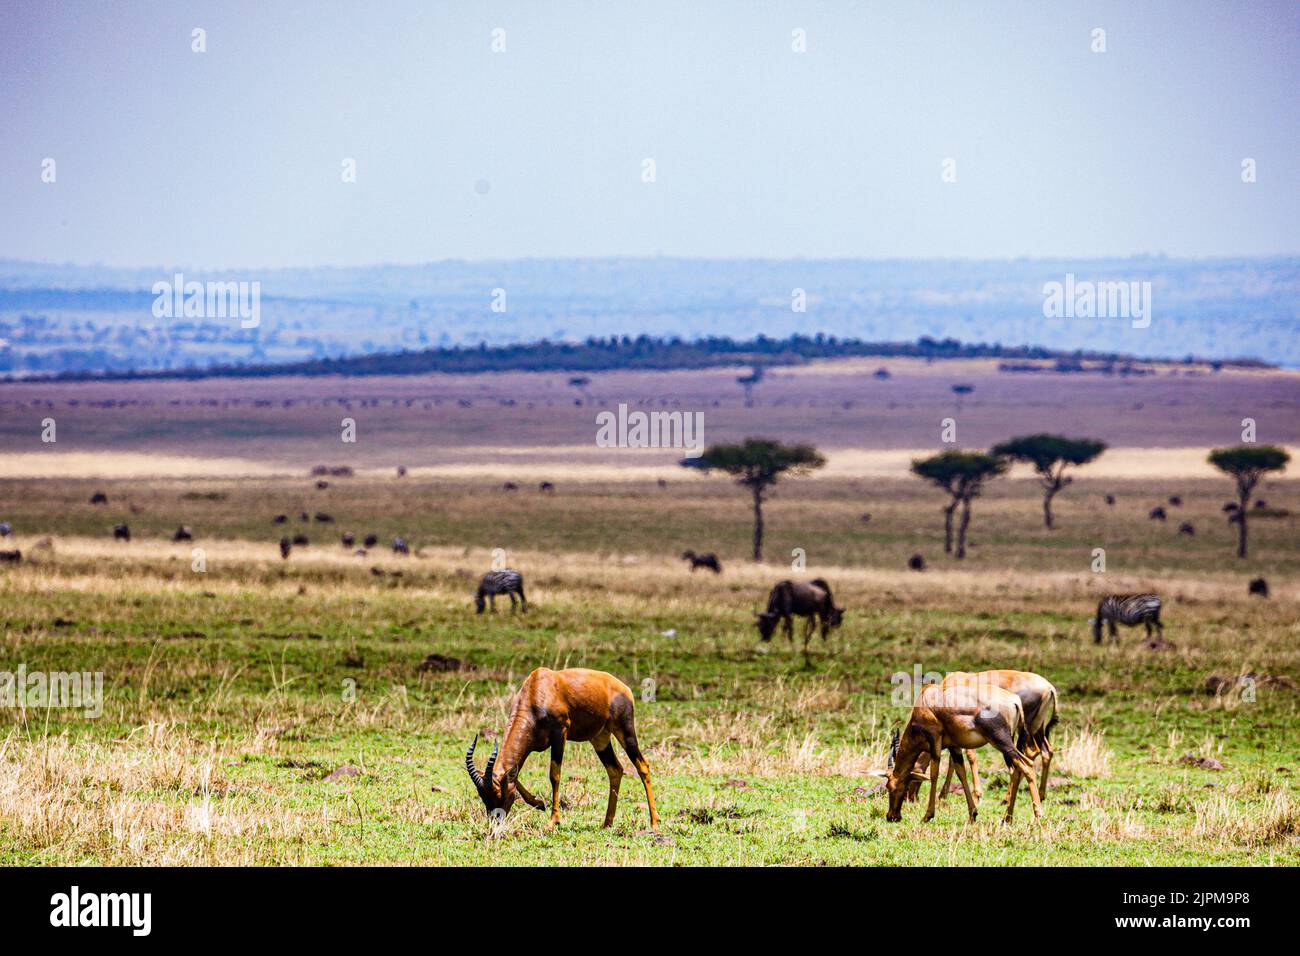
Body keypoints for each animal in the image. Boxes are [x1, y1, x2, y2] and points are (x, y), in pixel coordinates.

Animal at [464, 667, 659, 830]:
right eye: (482, 795)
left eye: (498, 793)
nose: (495, 822)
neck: (538, 689)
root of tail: (624, 688)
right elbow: (515, 775)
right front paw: (539, 803)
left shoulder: (560, 734)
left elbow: (554, 775)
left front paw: (553, 820)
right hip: (600, 738)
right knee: (615, 770)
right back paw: (607, 823)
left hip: (624, 731)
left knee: (642, 766)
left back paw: (654, 822)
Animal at [881, 680, 1042, 824]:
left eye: (890, 786)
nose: (892, 817)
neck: (927, 698)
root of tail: (1014, 700)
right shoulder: (954, 746)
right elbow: (961, 773)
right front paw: (973, 815)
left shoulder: (935, 740)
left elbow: (934, 774)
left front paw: (927, 815)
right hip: (1009, 742)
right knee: (1016, 771)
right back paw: (1007, 818)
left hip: (1002, 742)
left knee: (1027, 765)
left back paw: (1037, 816)